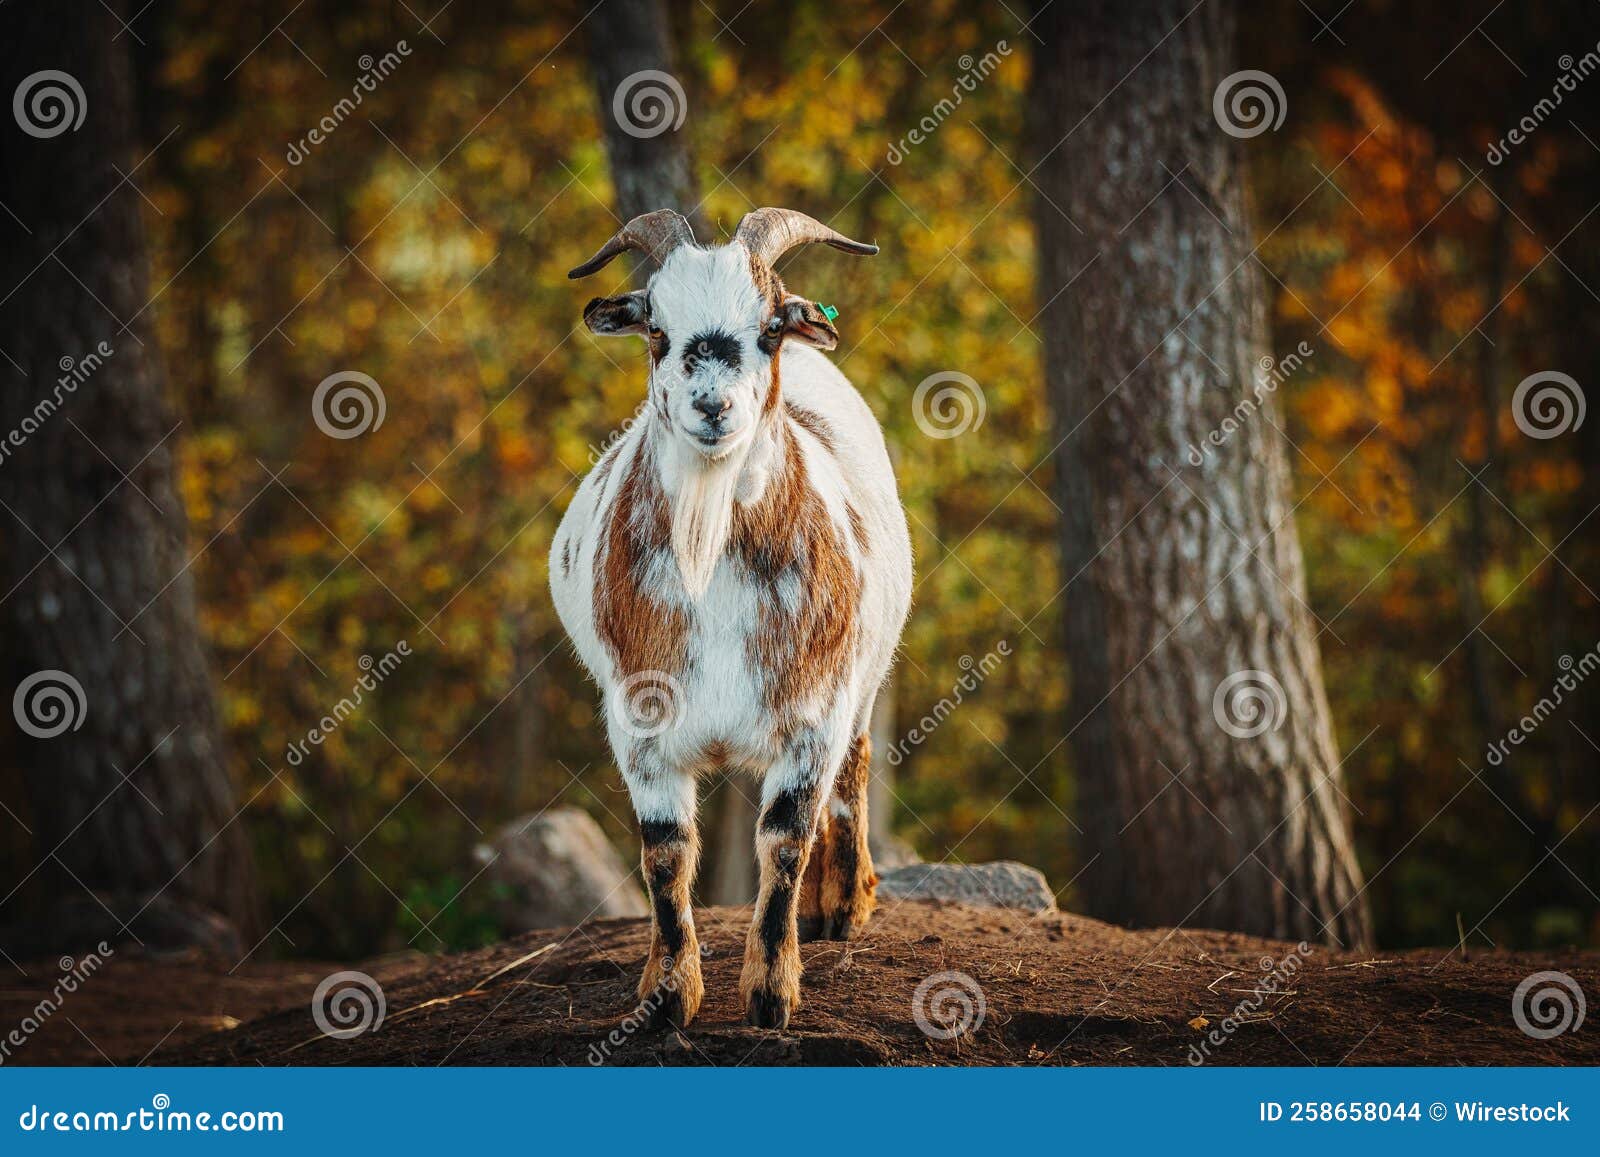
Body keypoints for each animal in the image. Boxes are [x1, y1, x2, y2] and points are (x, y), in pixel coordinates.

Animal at [551, 207, 912, 1029]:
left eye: (772, 325)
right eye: (656, 328)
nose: (713, 406)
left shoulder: (814, 713)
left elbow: (784, 840)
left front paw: (772, 993)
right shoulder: (641, 721)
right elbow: (665, 852)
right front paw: (667, 992)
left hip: (865, 673)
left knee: (855, 766)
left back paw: (842, 904)